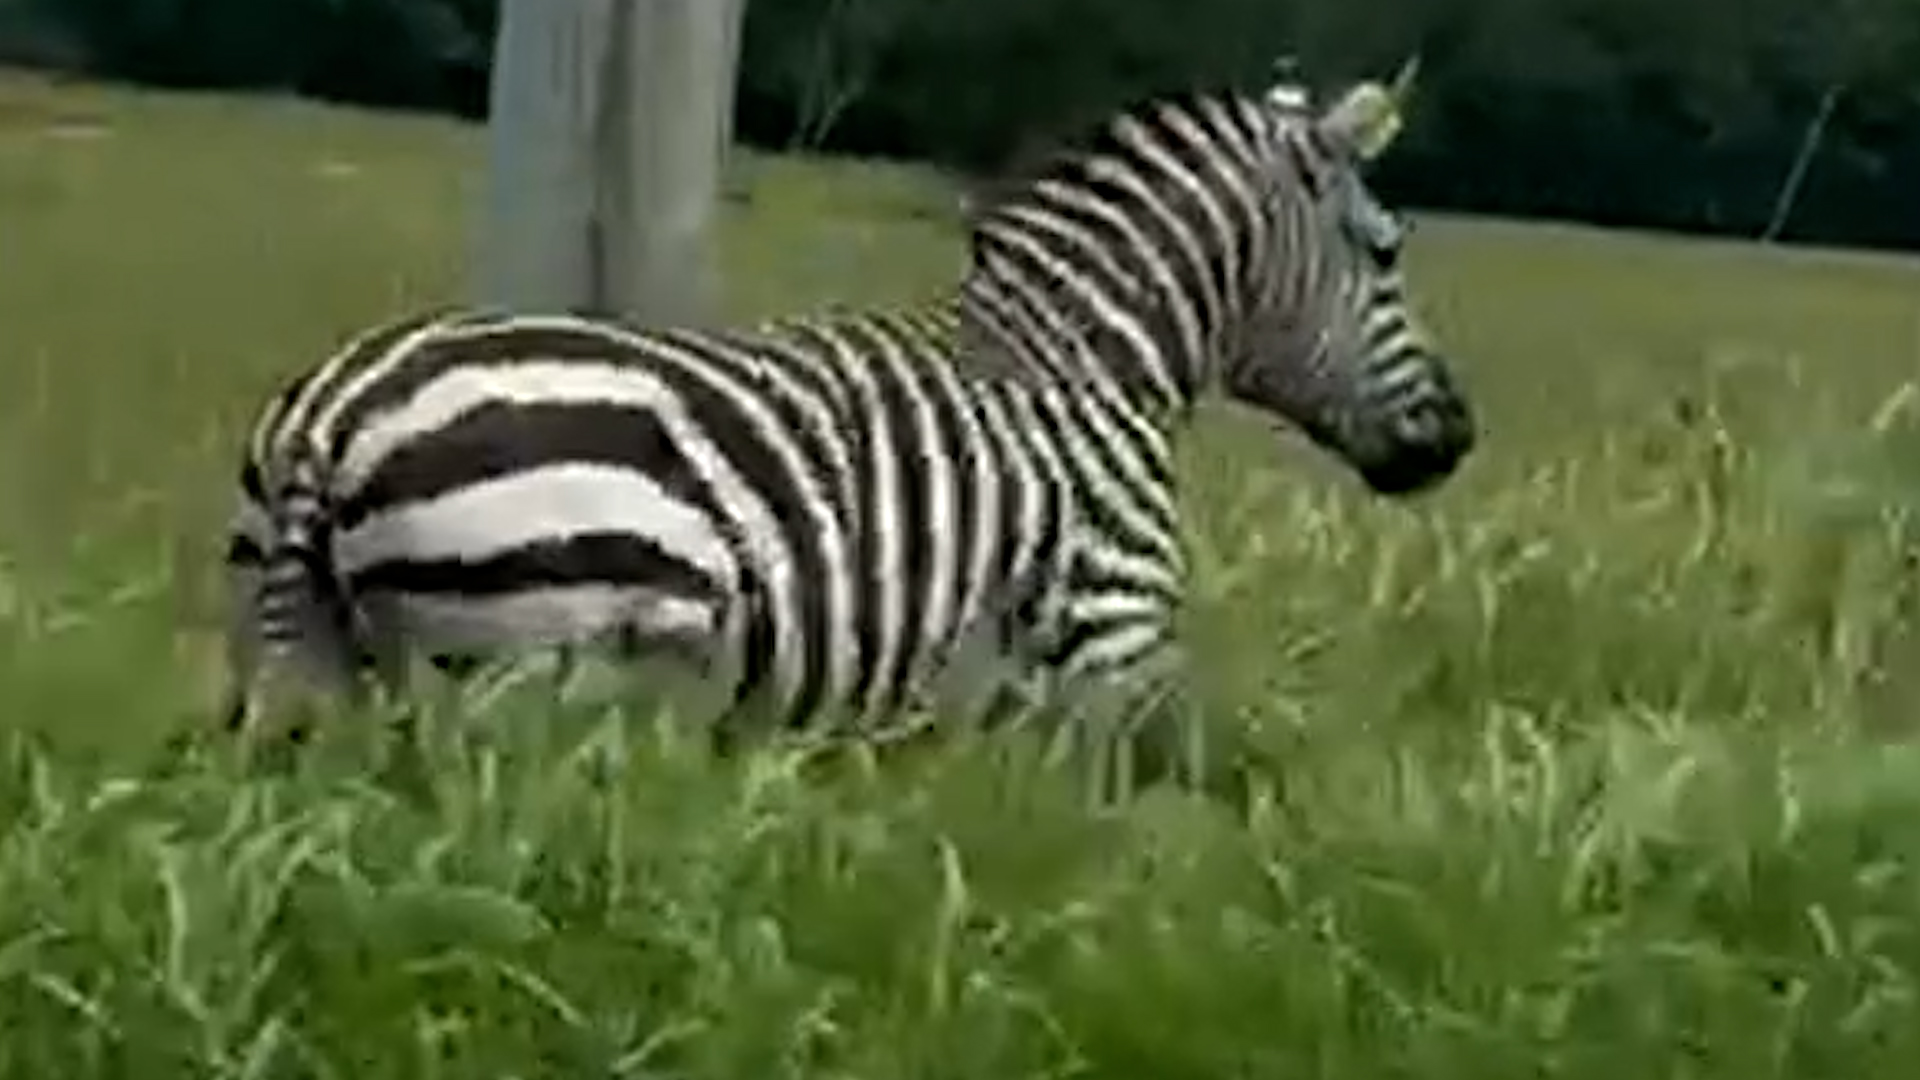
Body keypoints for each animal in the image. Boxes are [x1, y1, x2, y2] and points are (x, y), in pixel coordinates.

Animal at [218, 68, 1474, 798]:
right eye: (1387, 251)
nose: (1456, 439)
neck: (1089, 358)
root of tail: (334, 414)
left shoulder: (967, 701)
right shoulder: (1115, 647)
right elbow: (1148, 831)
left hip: (312, 664)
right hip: (533, 676)